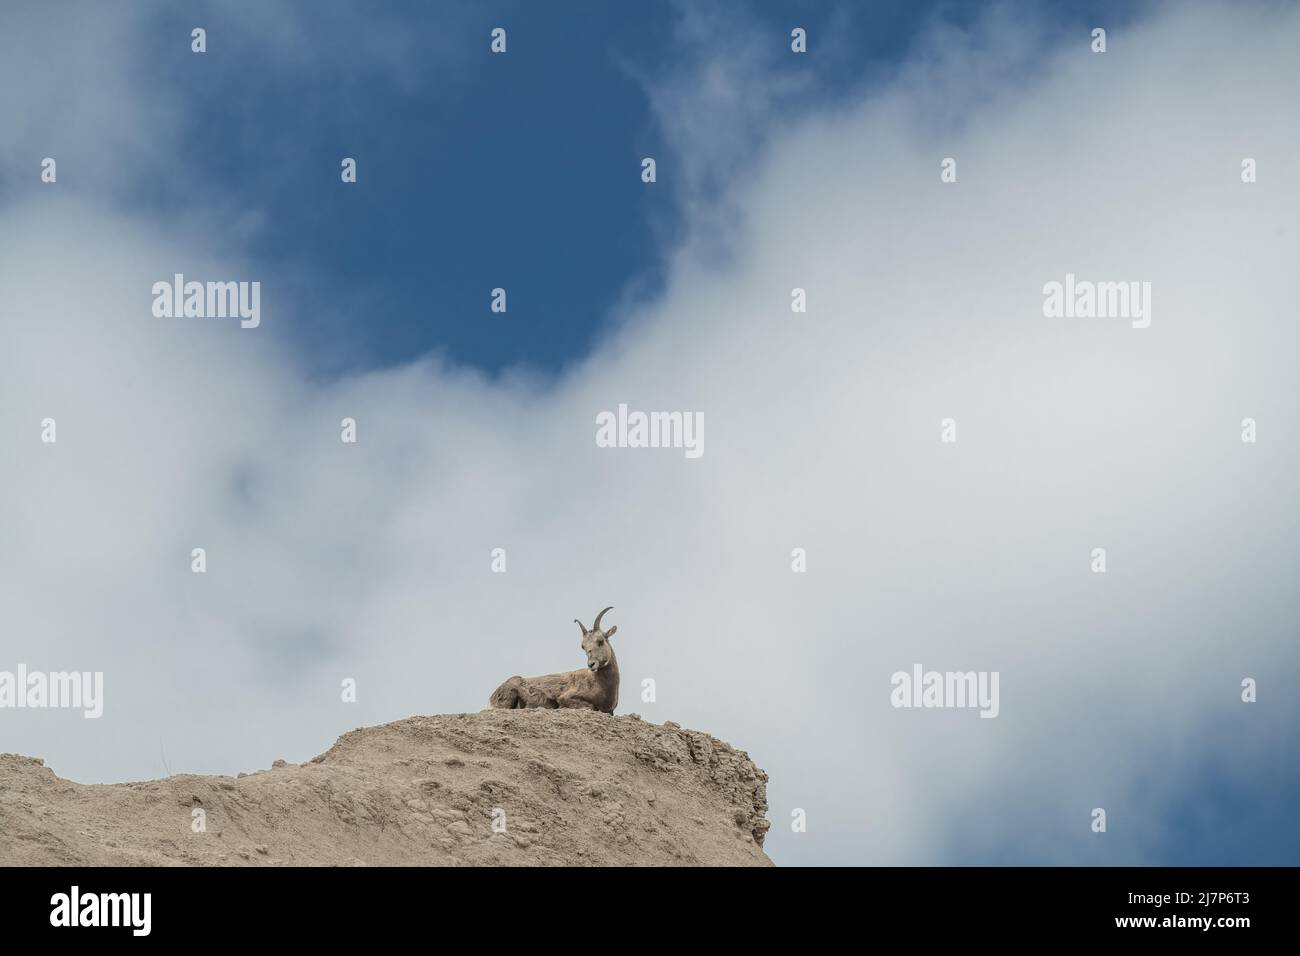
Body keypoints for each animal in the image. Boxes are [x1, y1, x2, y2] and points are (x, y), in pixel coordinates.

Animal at [488, 607, 620, 714]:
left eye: (600, 641)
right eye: (583, 646)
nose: (591, 664)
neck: (601, 685)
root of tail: (492, 697)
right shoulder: (565, 698)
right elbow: (589, 706)